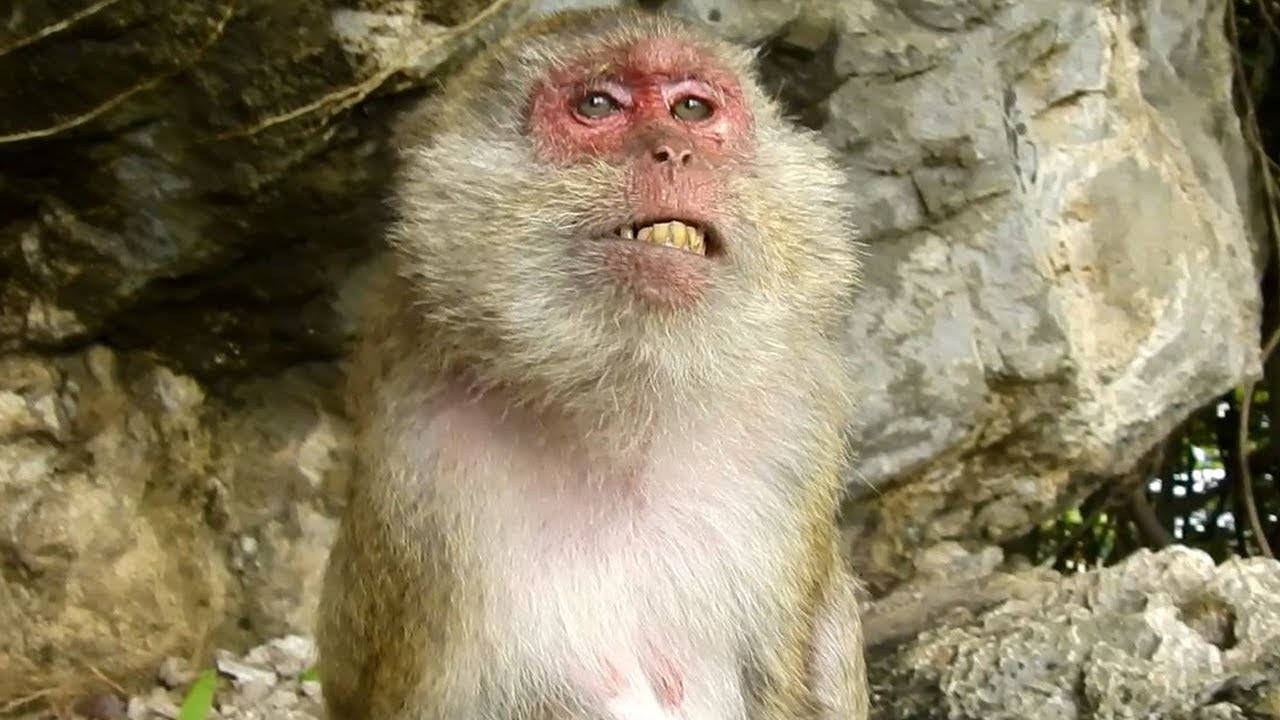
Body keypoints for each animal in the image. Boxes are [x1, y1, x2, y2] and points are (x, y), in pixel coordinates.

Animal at [316, 8, 867, 720]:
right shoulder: (421, 473)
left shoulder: (794, 432)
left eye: (692, 108)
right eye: (598, 105)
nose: (675, 152)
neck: (623, 418)